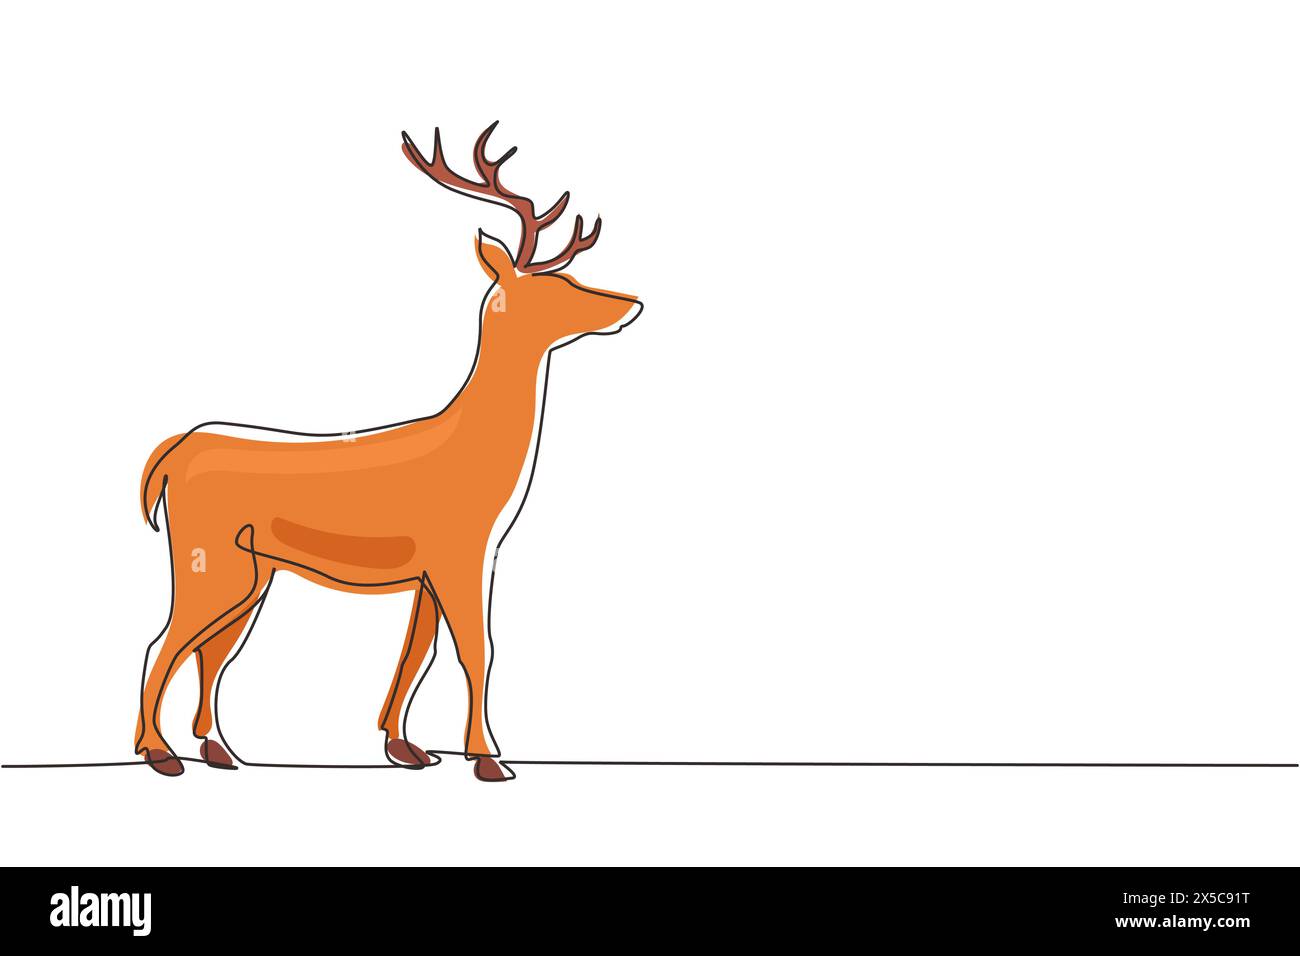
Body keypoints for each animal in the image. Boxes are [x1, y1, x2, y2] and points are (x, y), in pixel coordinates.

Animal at [134, 122, 641, 781]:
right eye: (559, 286)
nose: (631, 304)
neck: (475, 450)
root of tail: (172, 454)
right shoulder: (463, 551)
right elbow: (477, 649)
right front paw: (489, 758)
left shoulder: (428, 569)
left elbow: (417, 652)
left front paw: (405, 747)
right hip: (206, 554)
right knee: (165, 640)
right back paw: (158, 753)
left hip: (252, 570)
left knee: (213, 649)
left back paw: (219, 750)